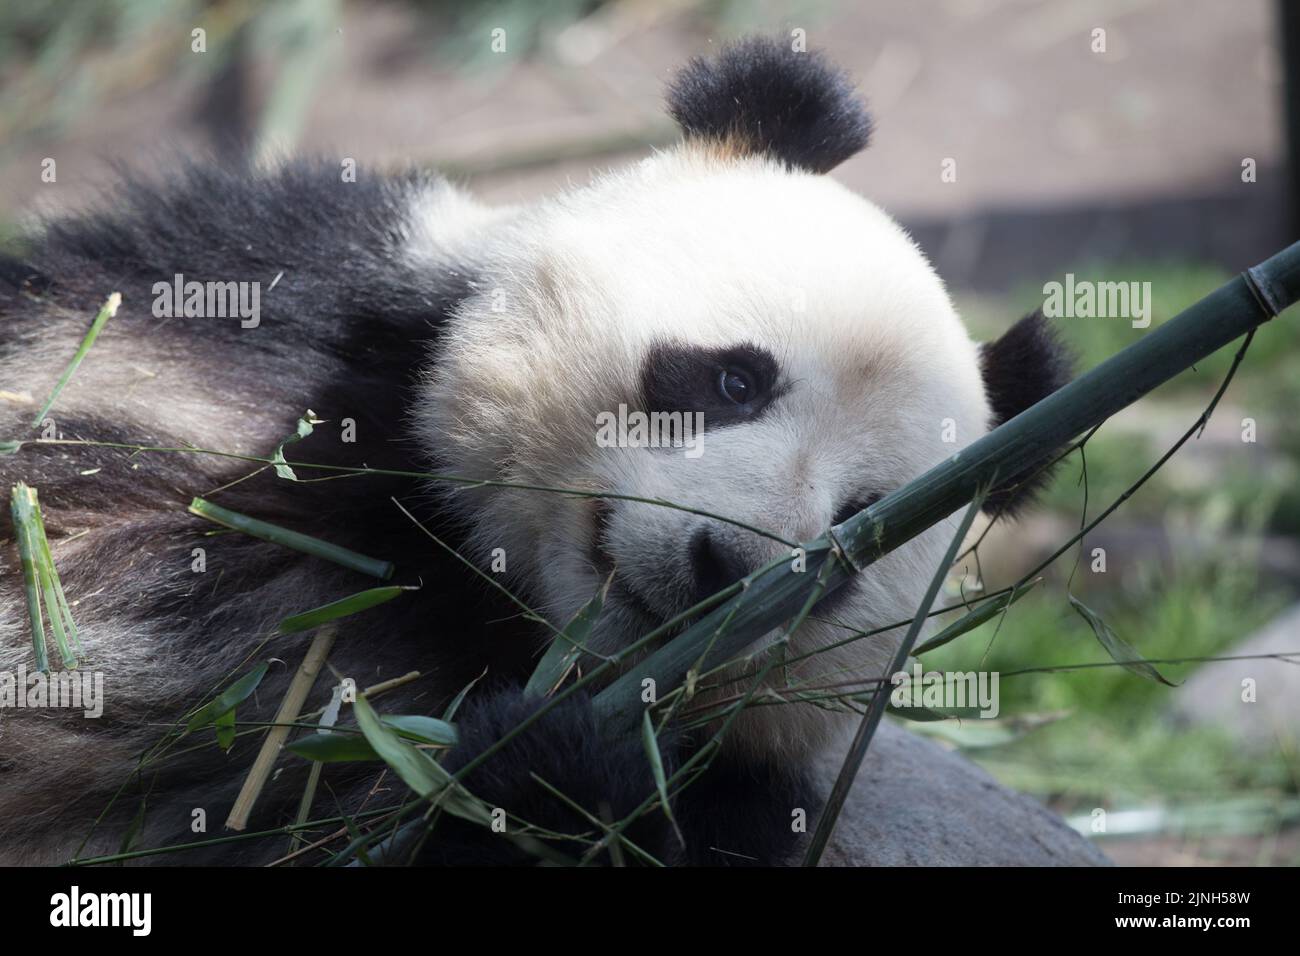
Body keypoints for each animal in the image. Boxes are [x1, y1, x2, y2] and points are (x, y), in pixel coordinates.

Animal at [0, 35, 1069, 866]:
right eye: (735, 381)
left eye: (857, 525)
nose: (723, 565)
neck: (462, 568)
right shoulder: (275, 291)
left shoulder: (745, 790)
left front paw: (543, 769)